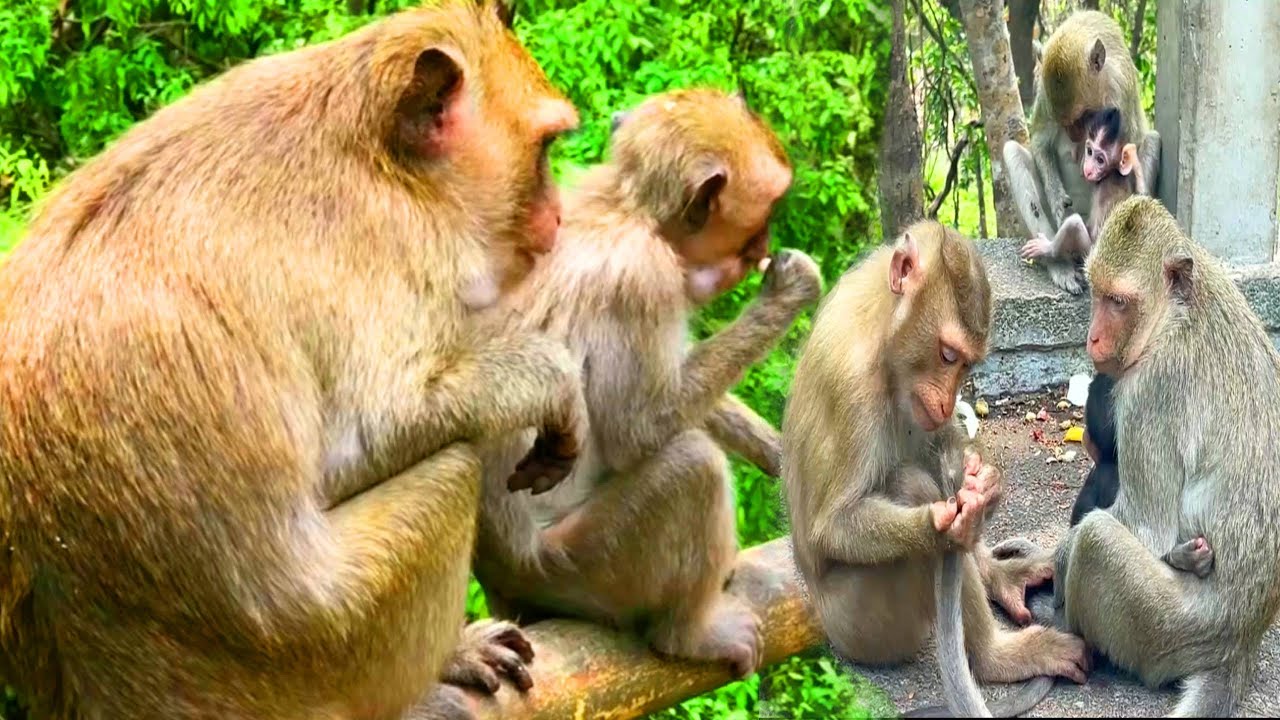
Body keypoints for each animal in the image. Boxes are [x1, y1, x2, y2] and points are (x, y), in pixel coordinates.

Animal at [0, 3, 592, 719]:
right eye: (546, 149)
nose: (558, 216)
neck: (383, 164)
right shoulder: (382, 252)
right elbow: (368, 437)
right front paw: (553, 380)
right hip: (322, 646)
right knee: (451, 470)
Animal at [470, 88, 823, 680]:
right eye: (763, 219)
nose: (765, 246)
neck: (627, 207)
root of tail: (503, 582)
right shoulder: (645, 279)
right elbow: (635, 429)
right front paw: (790, 291)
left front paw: (785, 458)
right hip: (579, 567)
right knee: (692, 468)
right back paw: (687, 633)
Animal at [782, 221, 1088, 719]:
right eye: (947, 355)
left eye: (965, 364)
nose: (948, 399)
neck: (877, 325)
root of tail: (828, 627)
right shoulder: (851, 387)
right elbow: (833, 525)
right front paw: (943, 525)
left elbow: (939, 442)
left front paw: (986, 484)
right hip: (868, 625)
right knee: (912, 490)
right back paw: (997, 656)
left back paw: (999, 577)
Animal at [1019, 106, 1141, 276]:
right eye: (1089, 151)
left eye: (1100, 160)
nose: (1088, 169)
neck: (1112, 173)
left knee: (1074, 224)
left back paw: (1048, 249)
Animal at [1053, 196, 1280, 717]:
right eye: (1097, 294)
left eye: (1118, 302)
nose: (1092, 338)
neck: (1174, 314)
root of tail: (1242, 642)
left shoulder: (1152, 391)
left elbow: (1146, 525)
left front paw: (1054, 559)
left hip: (1172, 628)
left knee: (1097, 541)